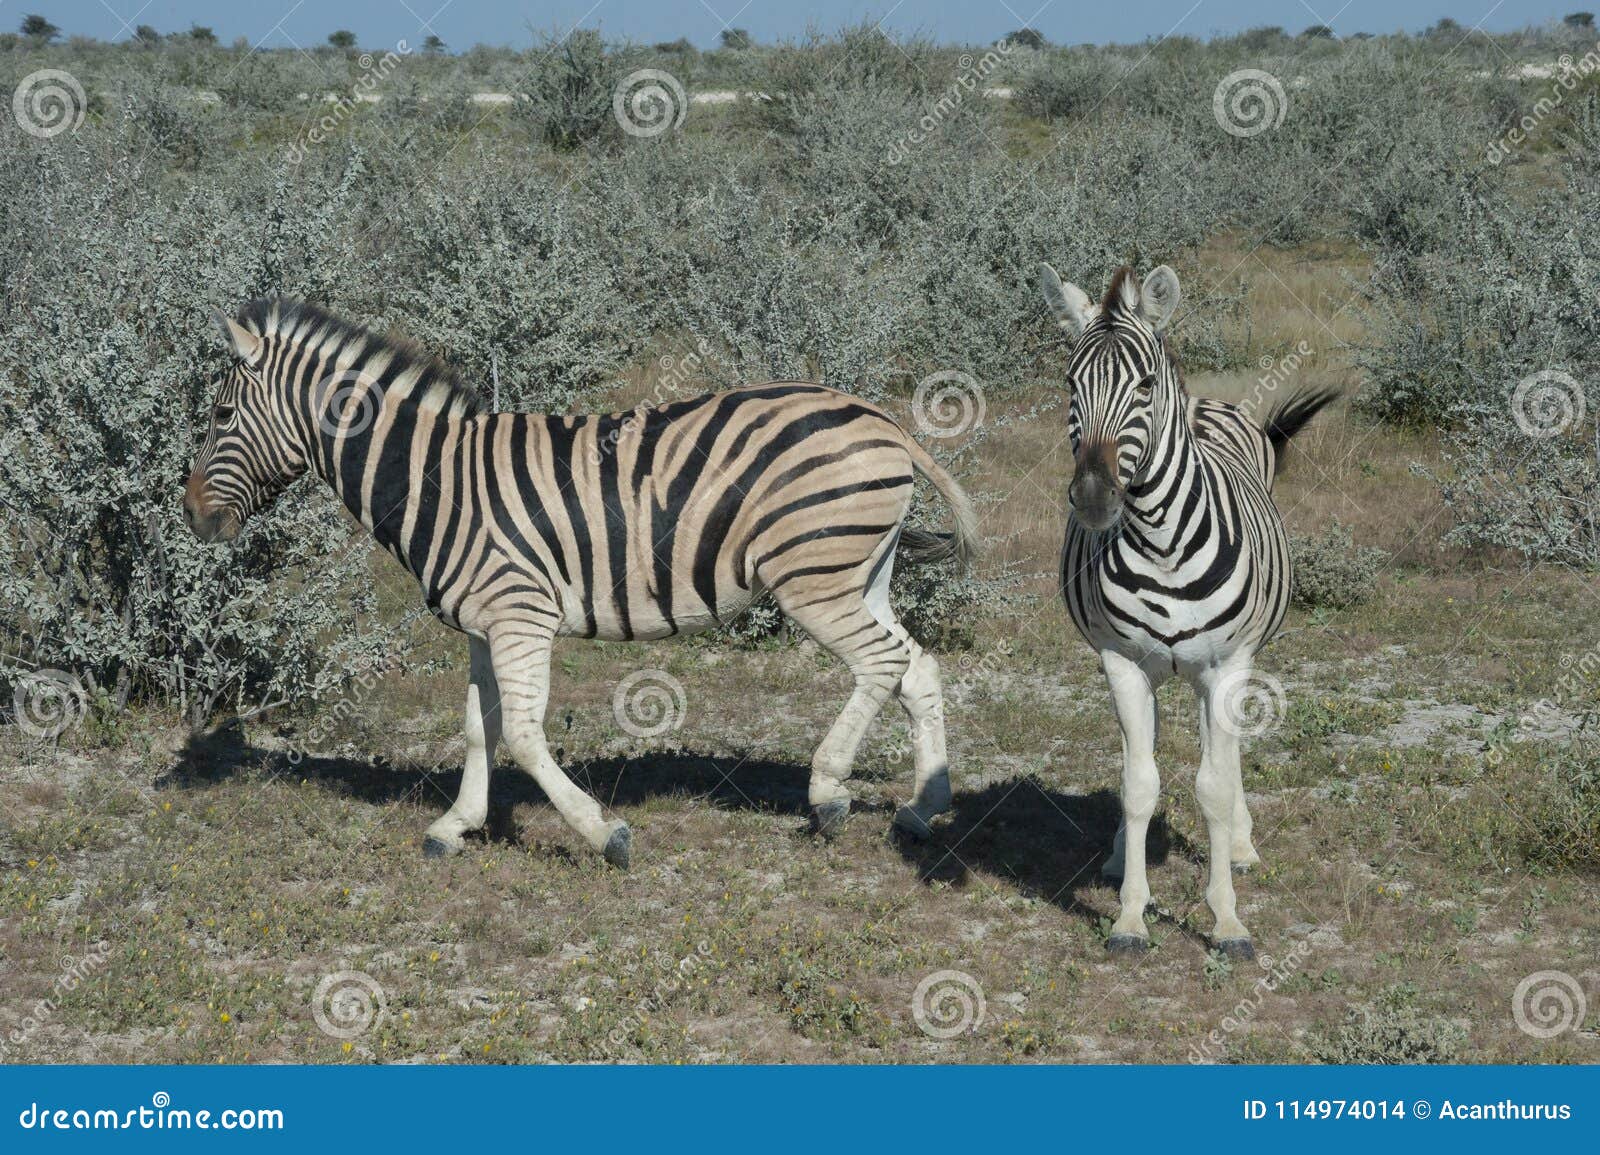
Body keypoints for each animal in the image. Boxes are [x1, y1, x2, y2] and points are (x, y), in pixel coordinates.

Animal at [183, 299, 979, 867]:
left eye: (220, 414)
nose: (190, 515)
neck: (440, 483)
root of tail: (884, 420)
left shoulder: (519, 613)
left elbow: (524, 734)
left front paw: (604, 833)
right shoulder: (484, 621)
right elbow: (479, 726)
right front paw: (456, 824)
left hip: (812, 577)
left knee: (880, 663)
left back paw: (828, 793)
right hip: (858, 573)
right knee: (917, 666)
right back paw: (921, 810)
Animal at [1037, 262, 1337, 960]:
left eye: (1145, 385)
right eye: (1071, 384)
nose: (1094, 500)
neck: (1161, 541)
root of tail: (1206, 403)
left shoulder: (1226, 666)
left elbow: (1215, 785)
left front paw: (1226, 921)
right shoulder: (1122, 662)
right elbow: (1138, 783)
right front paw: (1129, 915)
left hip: (1226, 666)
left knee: (1223, 757)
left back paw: (1242, 844)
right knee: (1142, 756)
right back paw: (1121, 852)